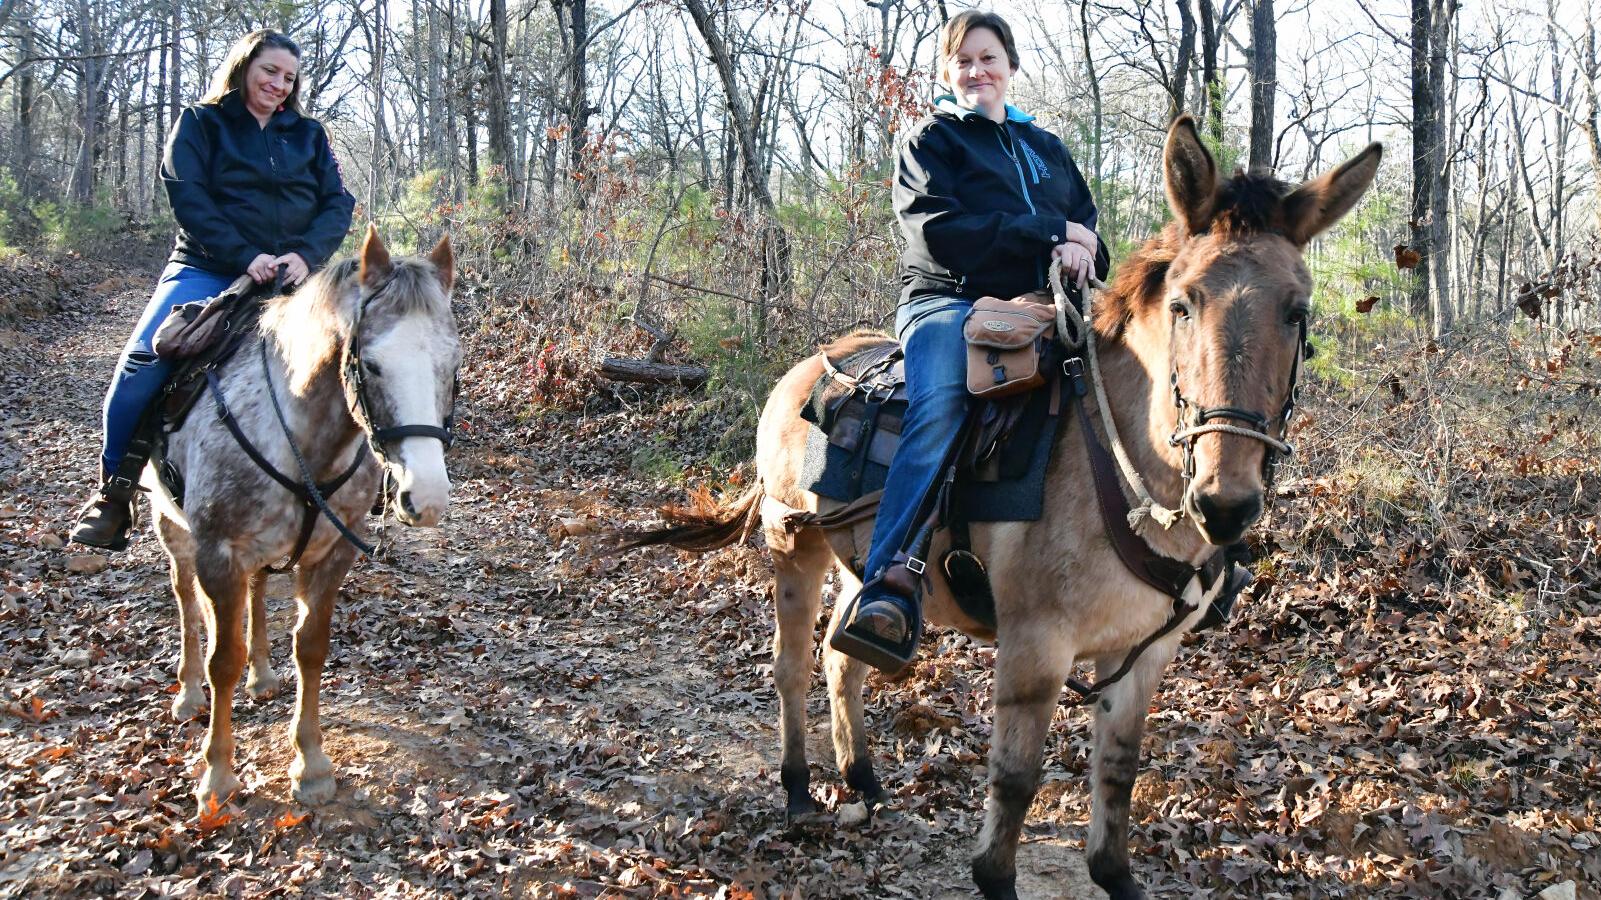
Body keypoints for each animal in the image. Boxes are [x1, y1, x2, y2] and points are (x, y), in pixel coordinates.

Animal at [145, 225, 461, 813]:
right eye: (371, 364)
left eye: (452, 367)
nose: (426, 498)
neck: (301, 438)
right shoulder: (218, 554)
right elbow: (224, 658)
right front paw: (216, 774)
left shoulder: (331, 555)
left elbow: (310, 649)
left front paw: (311, 764)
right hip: (171, 526)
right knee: (185, 596)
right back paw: (190, 691)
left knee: (256, 592)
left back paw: (263, 675)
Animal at [617, 118, 1379, 899]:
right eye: (1182, 304)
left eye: (1297, 311)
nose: (1224, 502)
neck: (1113, 463)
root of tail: (809, 366)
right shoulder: (1034, 650)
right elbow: (1013, 785)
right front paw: (993, 868)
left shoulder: (1142, 656)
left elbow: (1118, 775)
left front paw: (1113, 872)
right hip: (792, 546)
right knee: (791, 663)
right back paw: (800, 789)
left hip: (865, 566)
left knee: (841, 656)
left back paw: (862, 778)